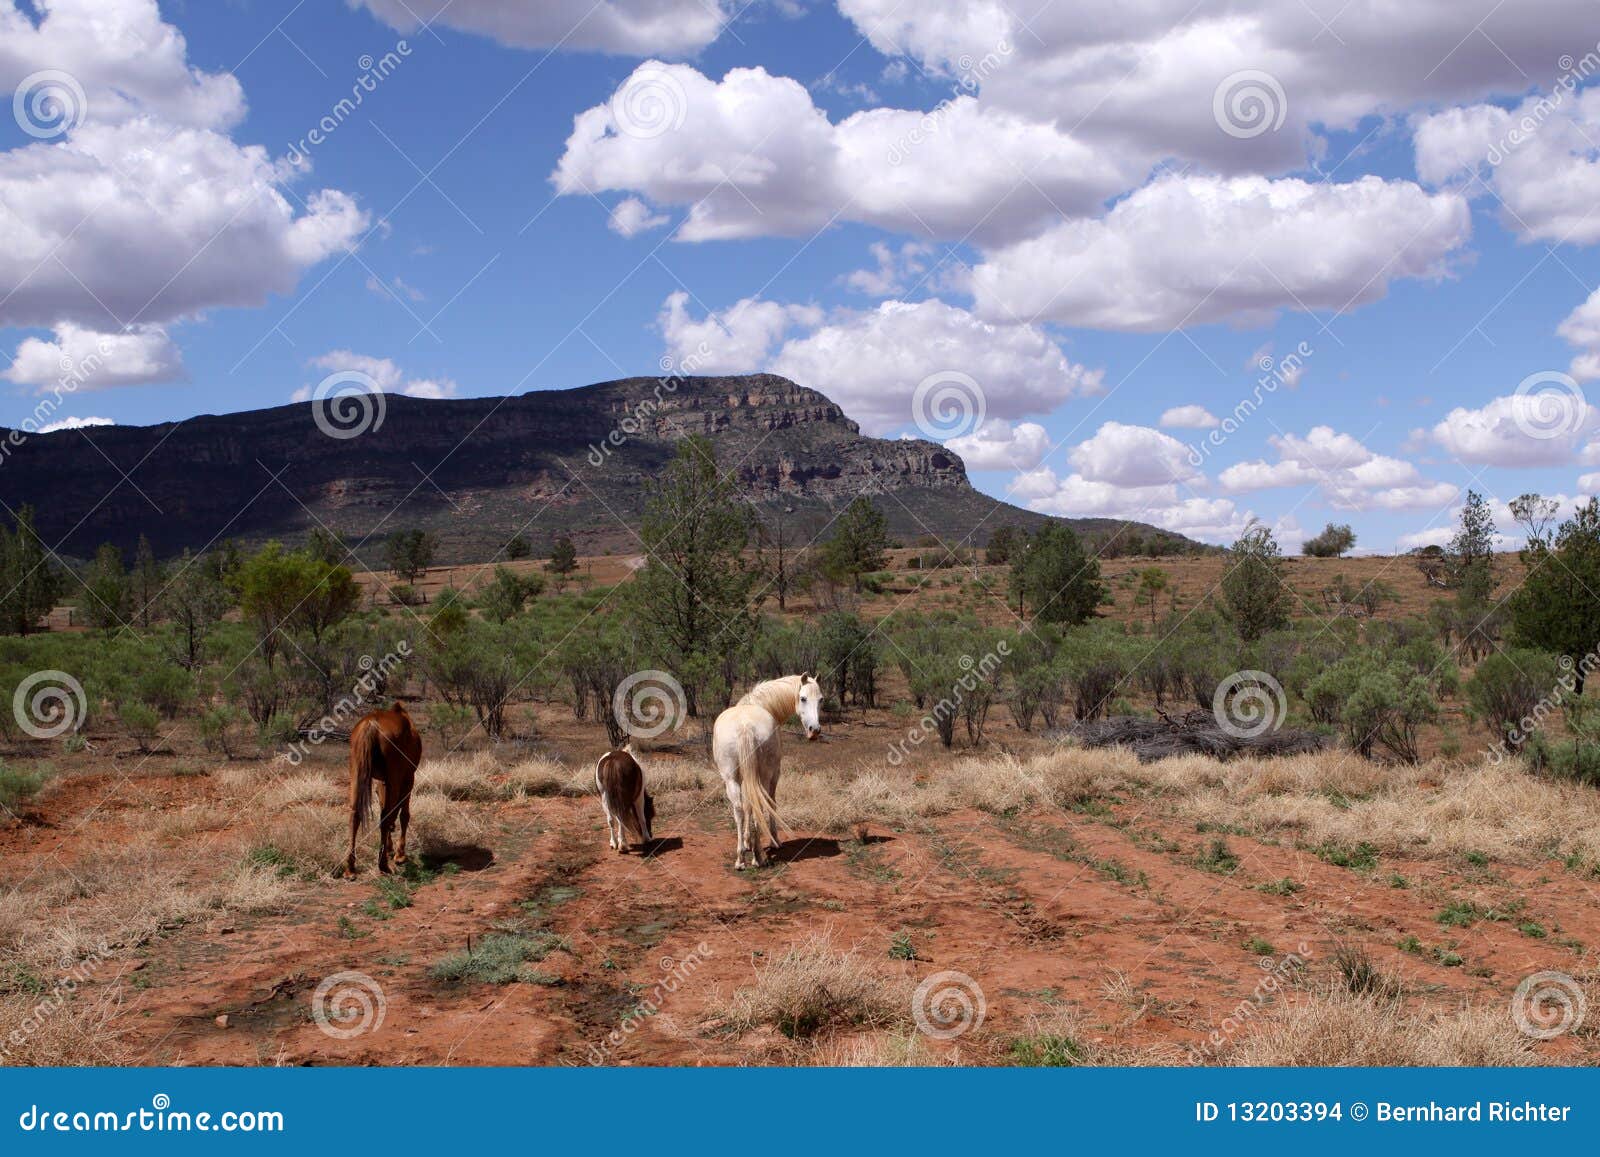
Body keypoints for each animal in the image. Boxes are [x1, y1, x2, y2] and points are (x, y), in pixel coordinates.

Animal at [345, 702, 423, 877]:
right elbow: (404, 814)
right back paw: (383, 865)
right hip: (395, 777)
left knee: (355, 814)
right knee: (386, 815)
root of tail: (371, 725)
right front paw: (400, 855)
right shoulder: (407, 778)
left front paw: (389, 848)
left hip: (356, 773)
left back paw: (350, 868)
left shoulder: (383, 781)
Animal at [711, 673, 822, 870]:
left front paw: (747, 841)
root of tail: (745, 726)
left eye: (821, 699)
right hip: (765, 776)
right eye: (803, 698)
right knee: (762, 805)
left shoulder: (744, 779)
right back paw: (758, 857)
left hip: (731, 779)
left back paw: (741, 859)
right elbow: (771, 803)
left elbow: (748, 805)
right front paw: (773, 840)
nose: (814, 730)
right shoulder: (774, 774)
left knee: (739, 809)